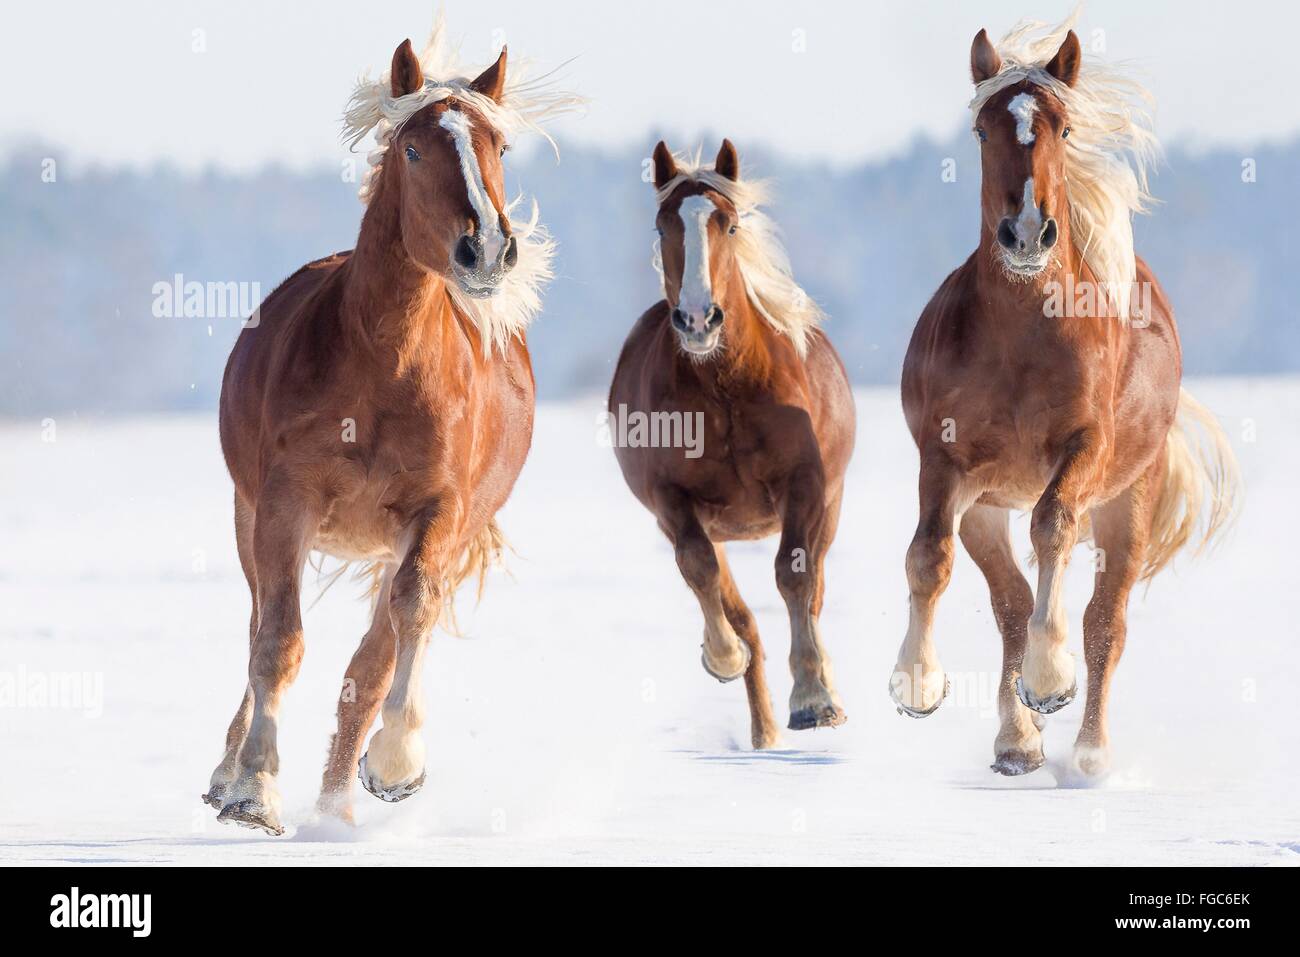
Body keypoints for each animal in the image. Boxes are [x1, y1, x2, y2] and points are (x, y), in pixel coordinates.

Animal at [200, 20, 575, 834]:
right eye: (412, 149)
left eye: (500, 147)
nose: (487, 248)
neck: (385, 367)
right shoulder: (284, 504)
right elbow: (278, 642)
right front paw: (252, 789)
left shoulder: (437, 513)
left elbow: (405, 623)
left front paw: (396, 763)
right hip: (248, 515)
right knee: (259, 625)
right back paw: (233, 775)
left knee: (375, 655)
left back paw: (340, 803)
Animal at [609, 140, 856, 748]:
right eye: (661, 226)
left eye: (731, 224)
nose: (699, 319)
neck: (725, 388)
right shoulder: (672, 502)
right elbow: (700, 571)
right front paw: (722, 657)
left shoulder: (804, 486)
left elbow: (795, 576)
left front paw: (814, 699)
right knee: (736, 608)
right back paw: (763, 730)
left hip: (830, 508)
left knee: (814, 592)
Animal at [890, 14, 1239, 778]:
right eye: (982, 130)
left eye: (1064, 128)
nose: (1026, 232)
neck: (1022, 337)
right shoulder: (948, 463)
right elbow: (929, 557)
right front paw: (917, 685)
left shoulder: (1085, 451)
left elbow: (1053, 526)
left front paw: (1049, 681)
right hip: (988, 507)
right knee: (1011, 602)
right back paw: (1016, 742)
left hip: (1126, 499)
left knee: (1104, 618)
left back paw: (1088, 752)